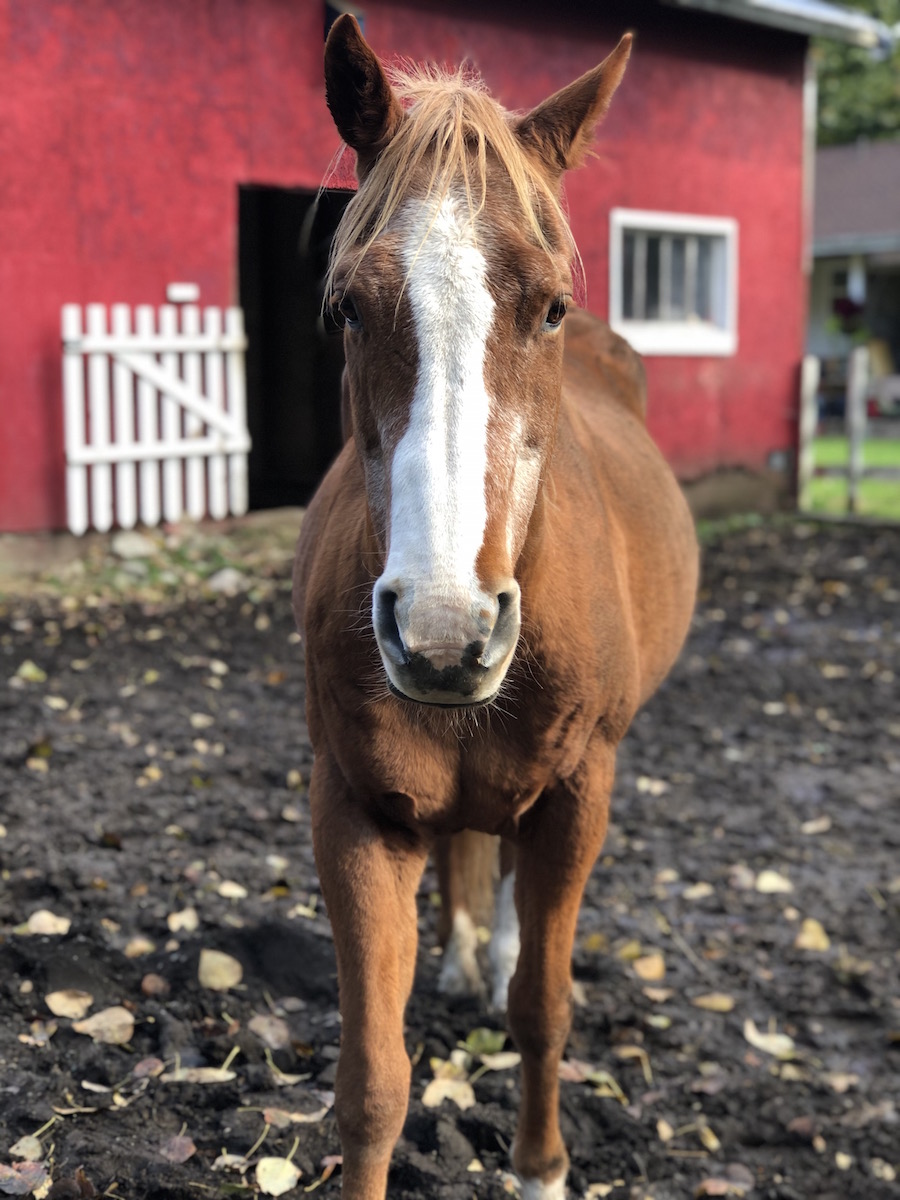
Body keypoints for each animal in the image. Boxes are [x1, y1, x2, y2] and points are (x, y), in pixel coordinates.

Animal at [293, 15, 698, 1198]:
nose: (442, 630)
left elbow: (544, 1010)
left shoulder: (578, 797)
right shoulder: (358, 813)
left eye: (550, 304)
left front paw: (541, 1168)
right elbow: (373, 1081)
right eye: (346, 305)